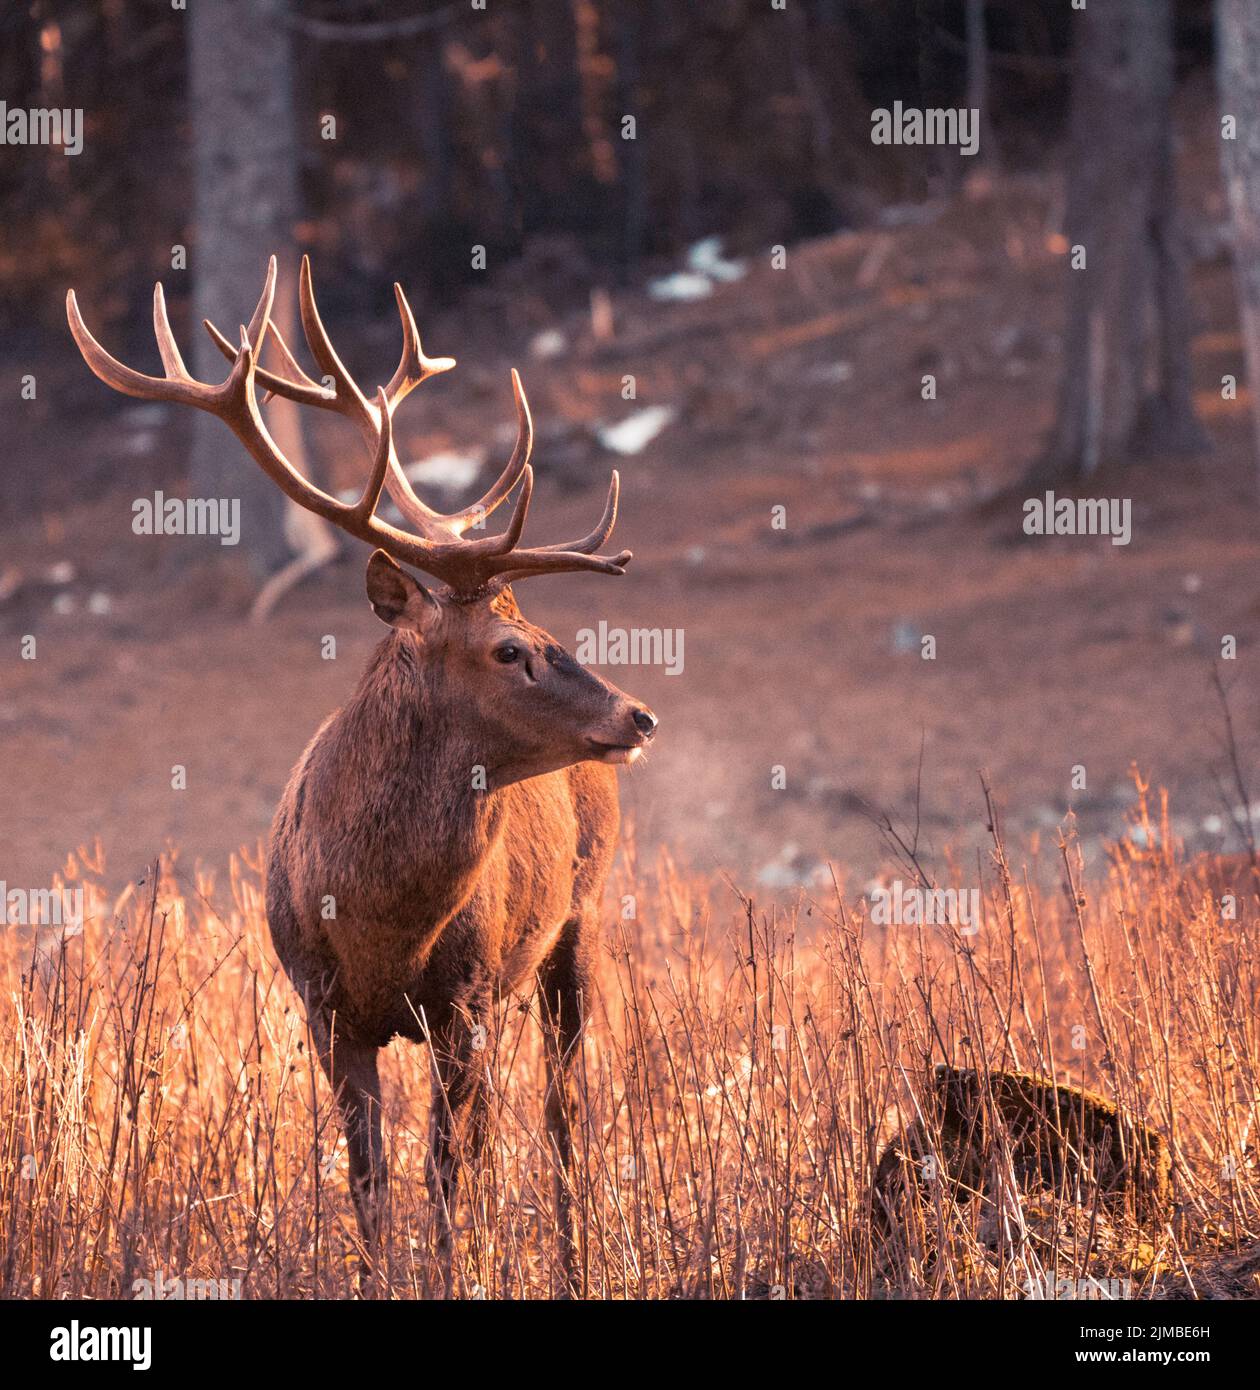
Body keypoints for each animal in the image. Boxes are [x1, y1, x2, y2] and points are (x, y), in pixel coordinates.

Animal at [66, 255, 658, 1295]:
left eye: (544, 632)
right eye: (510, 648)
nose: (637, 714)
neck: (383, 921)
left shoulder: (467, 999)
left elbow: (451, 1167)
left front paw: (459, 1269)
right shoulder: (324, 1008)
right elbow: (371, 1176)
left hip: (579, 918)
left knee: (562, 1111)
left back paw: (578, 1257)